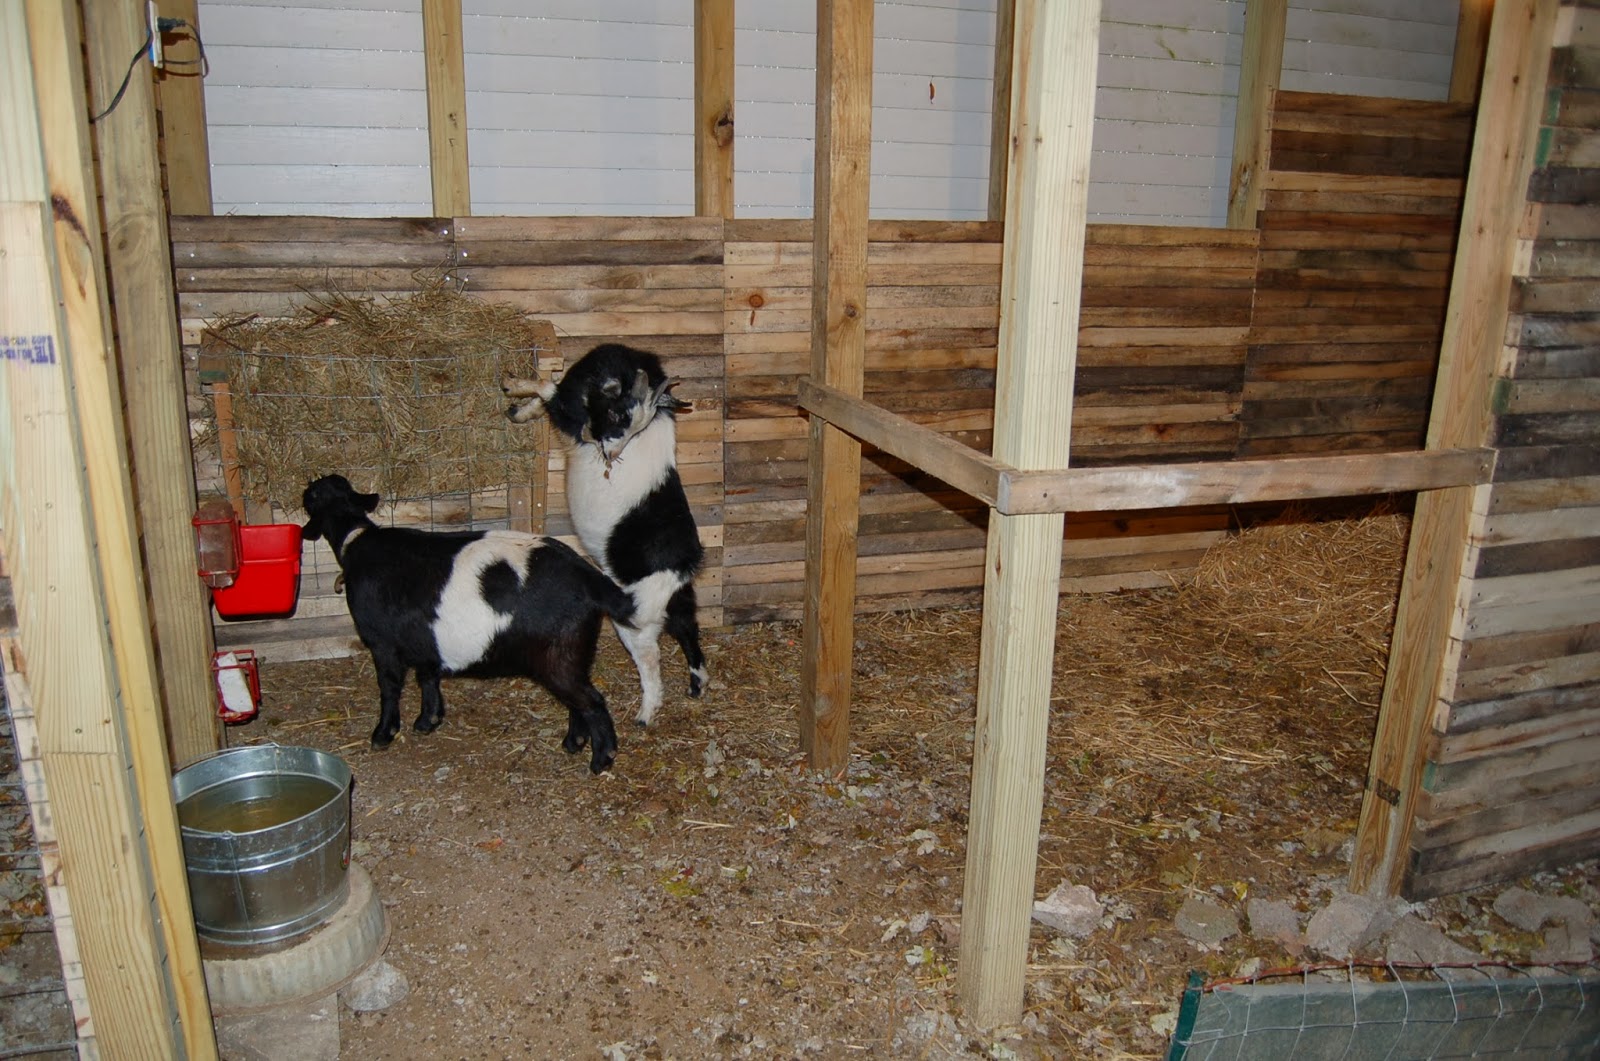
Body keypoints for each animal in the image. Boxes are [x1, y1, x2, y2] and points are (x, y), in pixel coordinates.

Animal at [300, 473, 633, 773]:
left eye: (312, 495)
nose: (305, 491)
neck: (354, 540)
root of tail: (590, 579)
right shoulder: (424, 639)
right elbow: (427, 676)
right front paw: (427, 721)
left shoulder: (382, 642)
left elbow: (390, 687)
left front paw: (383, 734)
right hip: (572, 653)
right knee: (579, 700)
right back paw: (573, 743)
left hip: (558, 654)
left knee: (592, 701)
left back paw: (601, 760)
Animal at [503, 342, 706, 727]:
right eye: (616, 414)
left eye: (632, 424)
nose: (609, 455)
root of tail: (681, 568)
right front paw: (519, 409)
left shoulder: (568, 412)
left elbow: (549, 391)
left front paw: (514, 389)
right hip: (677, 604)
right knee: (687, 628)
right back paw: (697, 685)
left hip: (635, 618)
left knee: (650, 657)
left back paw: (646, 713)